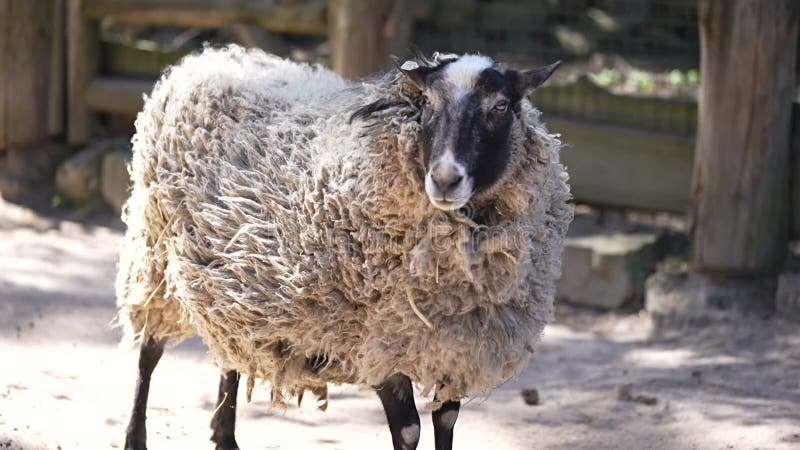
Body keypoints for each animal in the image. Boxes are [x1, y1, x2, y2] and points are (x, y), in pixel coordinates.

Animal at [116, 45, 572, 450]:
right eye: (426, 101)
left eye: (501, 106)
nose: (445, 179)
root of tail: (208, 56)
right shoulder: (374, 341)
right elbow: (409, 431)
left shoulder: (455, 348)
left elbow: (446, 422)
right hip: (156, 254)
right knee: (148, 352)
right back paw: (135, 437)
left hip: (230, 284)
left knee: (230, 352)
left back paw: (225, 437)